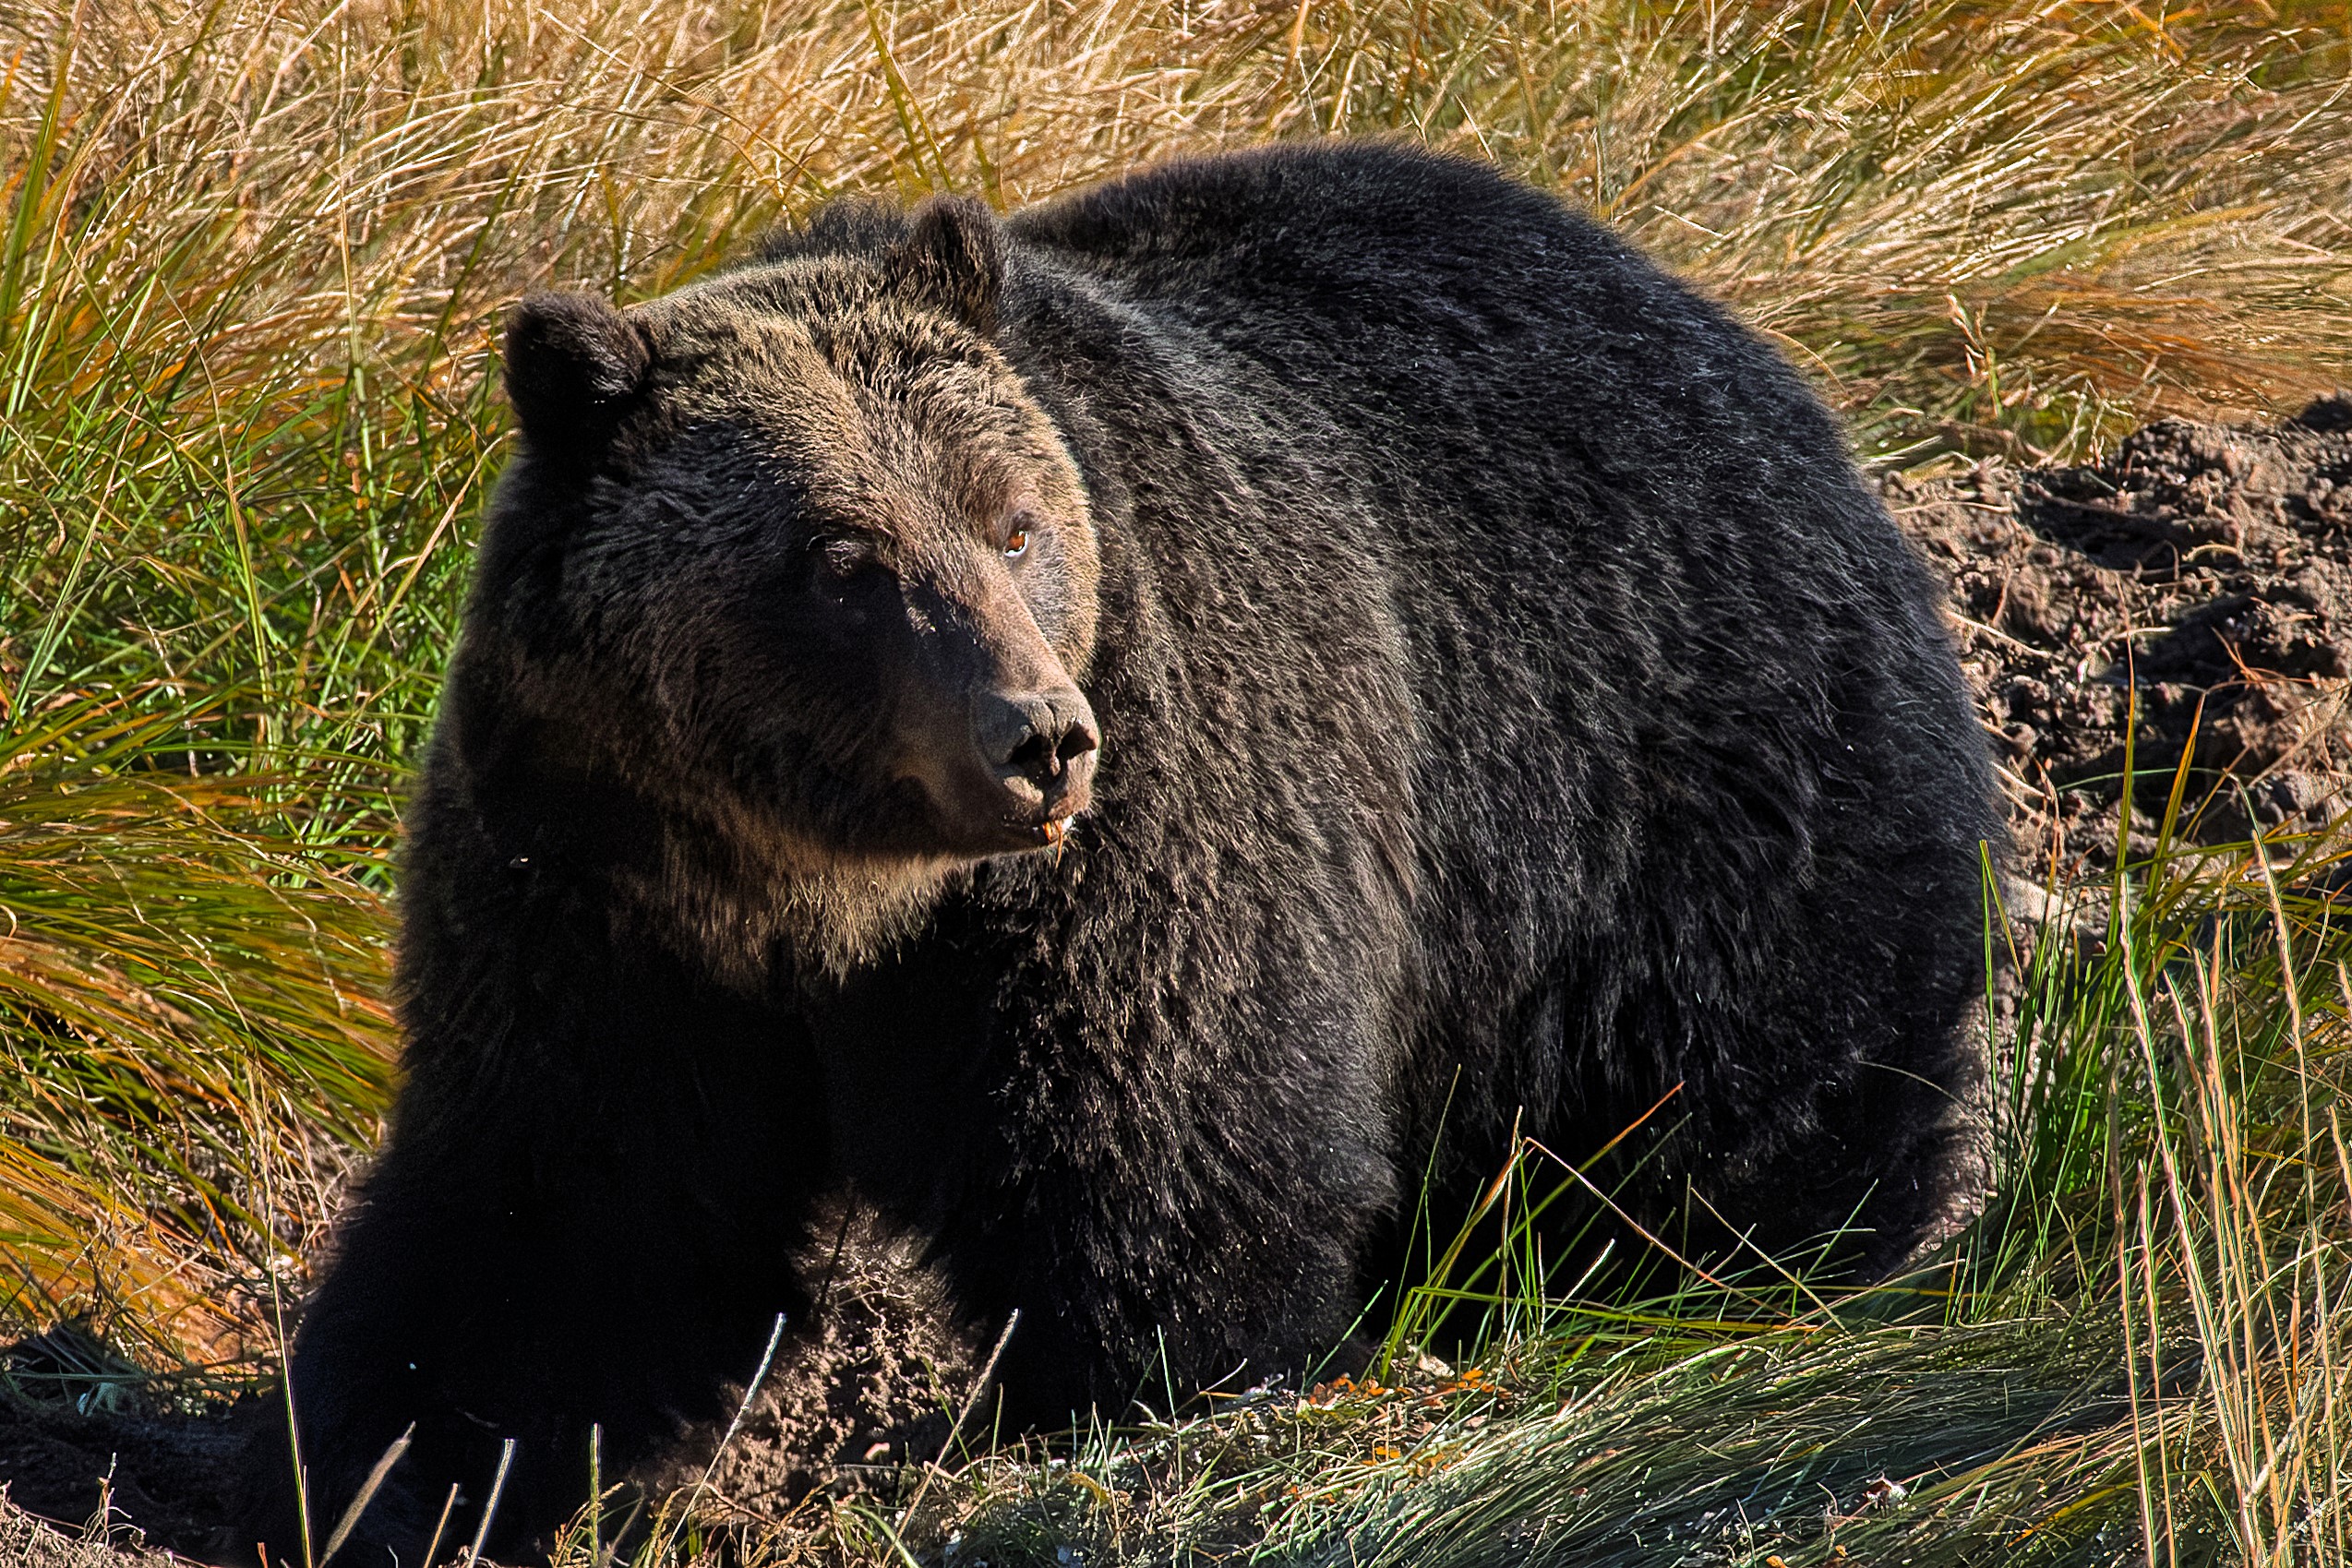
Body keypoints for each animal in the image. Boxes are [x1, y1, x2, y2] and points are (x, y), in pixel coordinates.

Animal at [246, 140, 2000, 1563]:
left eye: (1012, 518)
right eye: (841, 558)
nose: (1037, 735)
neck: (829, 895)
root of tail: (1754, 354)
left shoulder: (1137, 843)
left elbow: (1163, 1150)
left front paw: (1134, 1408)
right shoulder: (600, 885)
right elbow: (567, 1203)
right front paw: (398, 1466)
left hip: (1676, 800)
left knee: (1729, 1102)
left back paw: (1736, 1282)